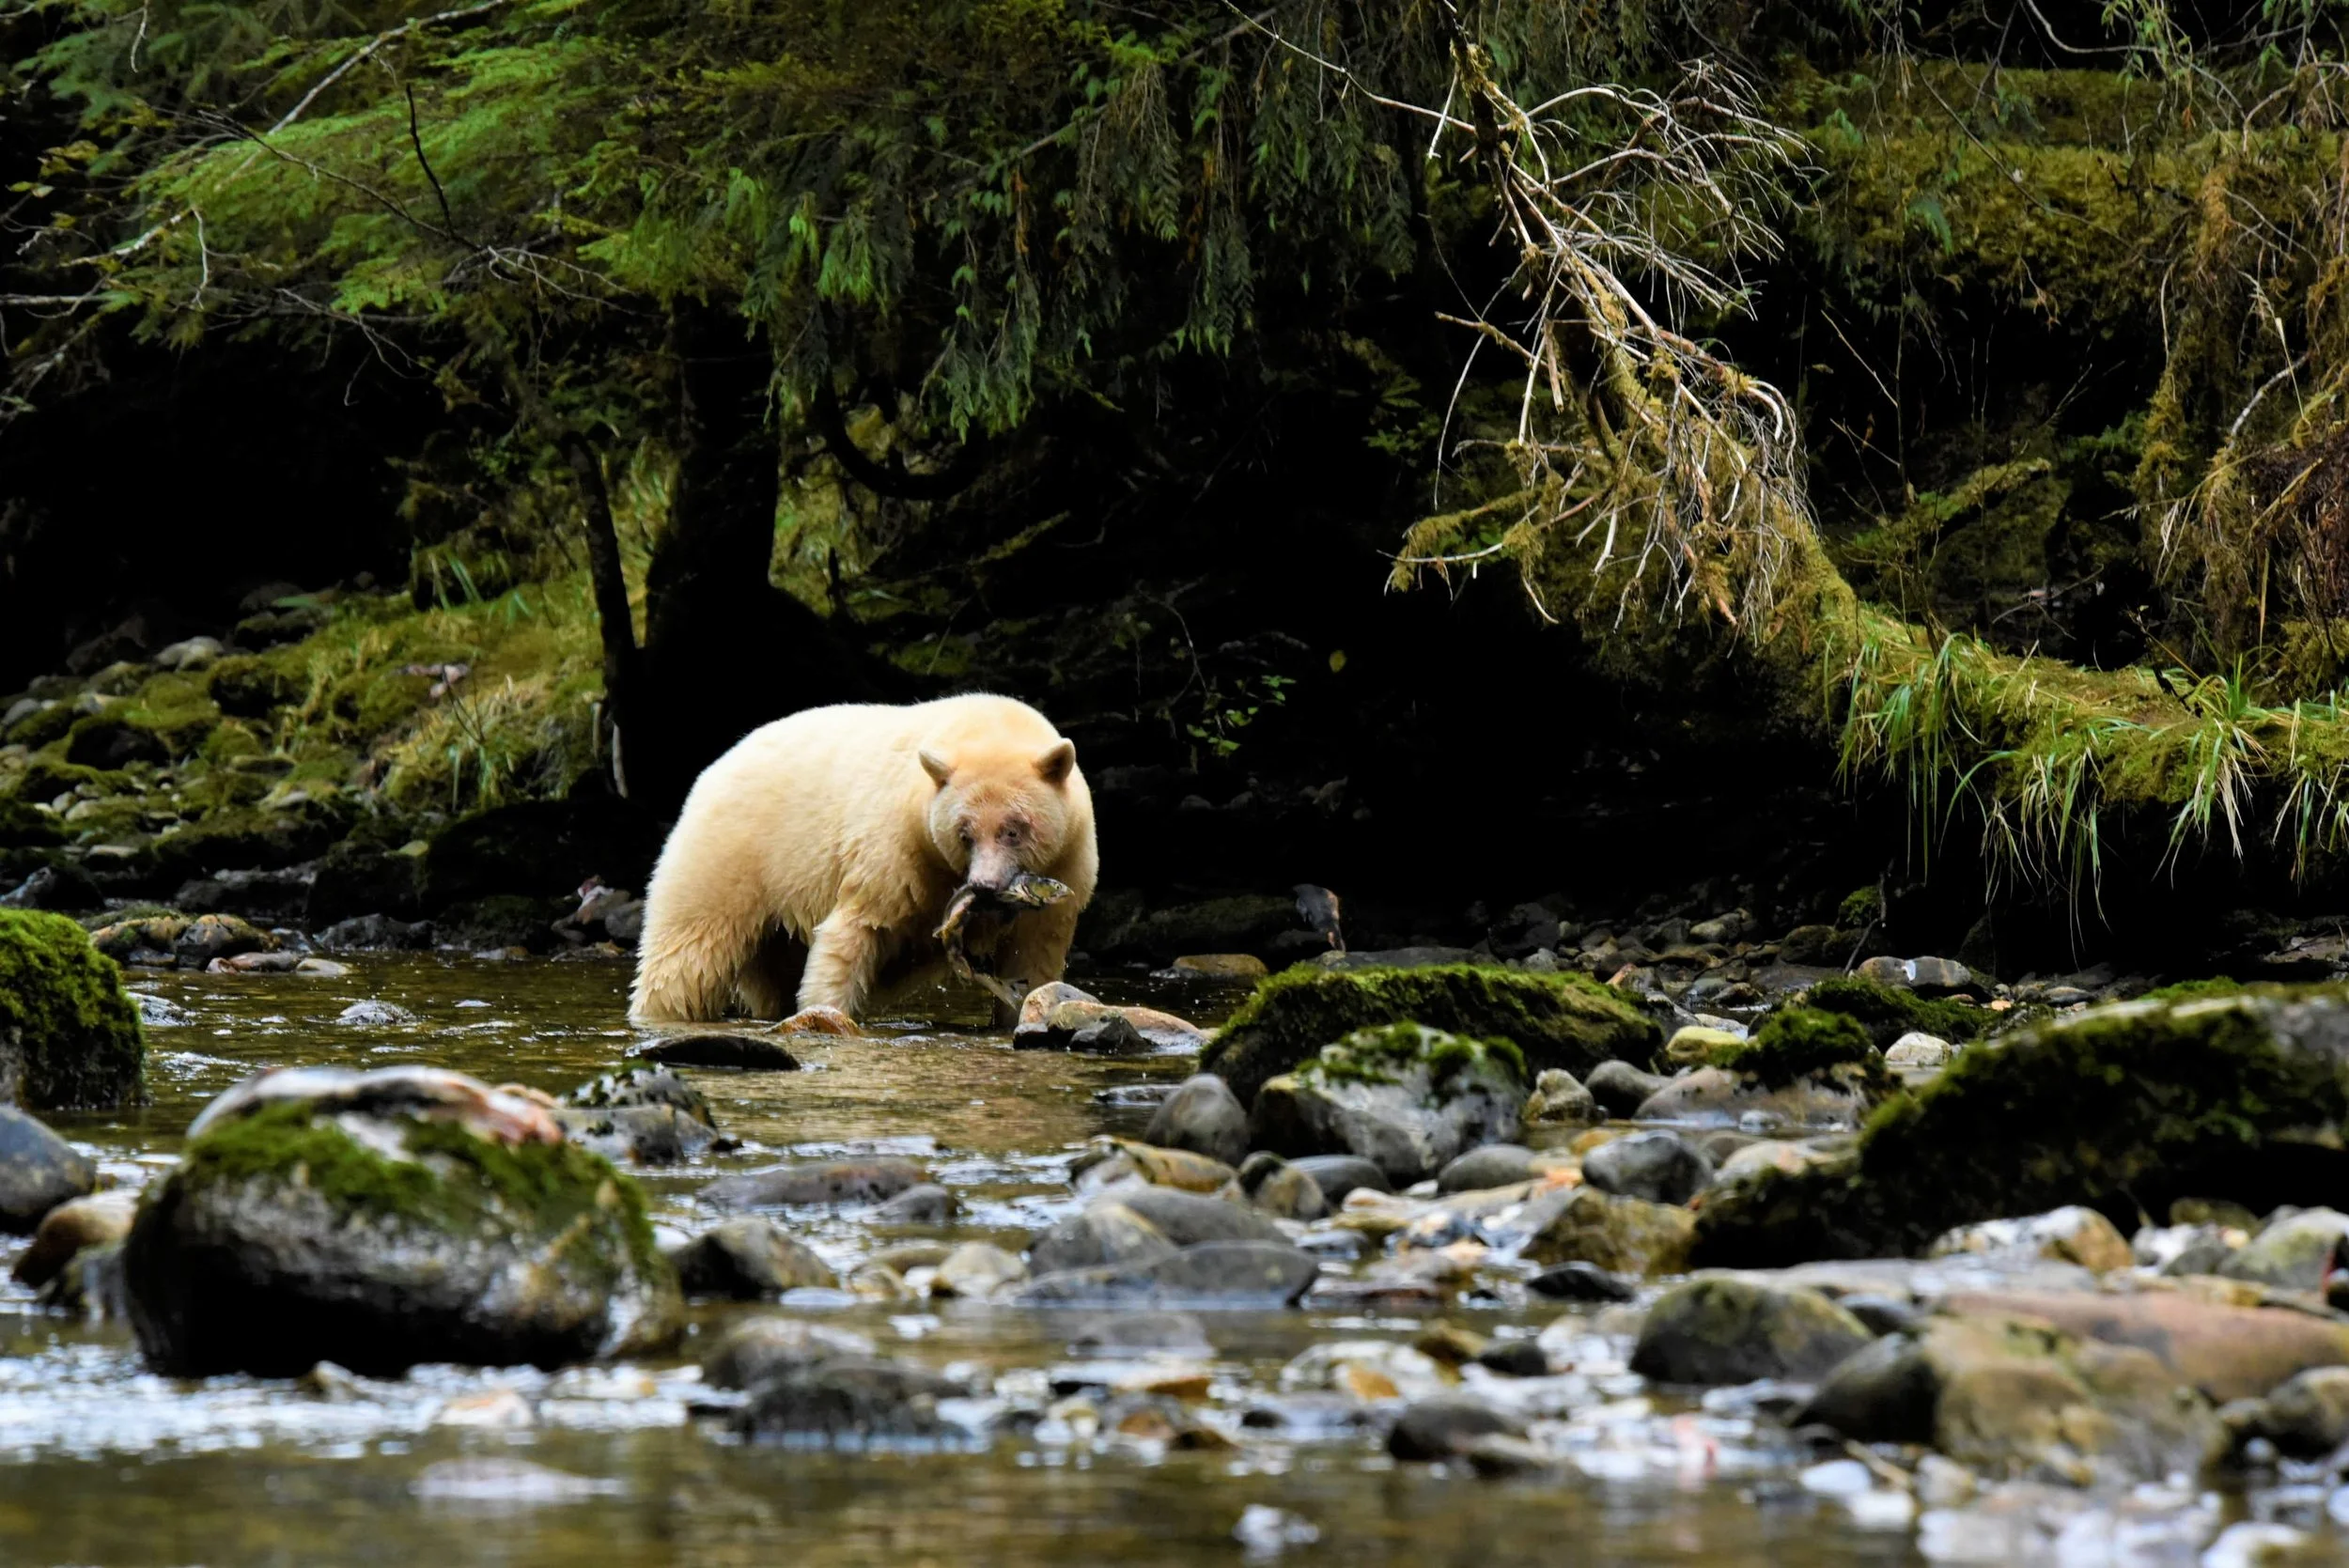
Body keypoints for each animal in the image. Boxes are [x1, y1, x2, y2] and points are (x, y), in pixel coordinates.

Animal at [627, 693, 1096, 1025]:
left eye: (1013, 830)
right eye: (964, 834)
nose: (983, 887)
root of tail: (716, 765)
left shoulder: (1067, 863)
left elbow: (1034, 957)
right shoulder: (894, 848)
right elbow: (857, 928)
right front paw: (826, 1010)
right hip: (732, 853)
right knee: (689, 955)